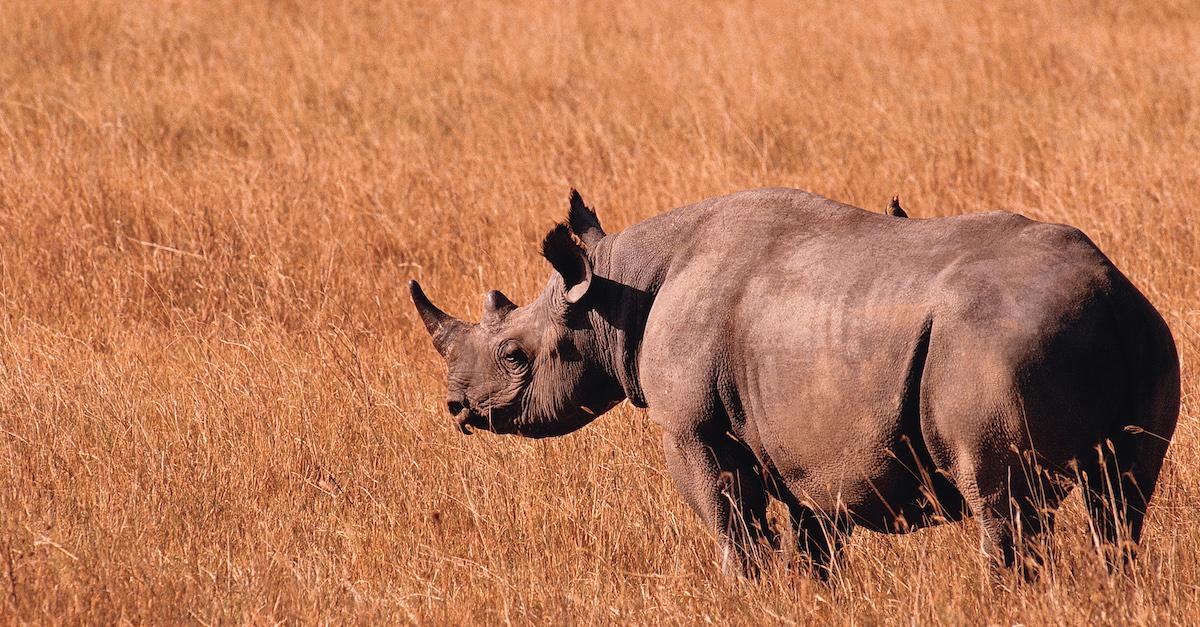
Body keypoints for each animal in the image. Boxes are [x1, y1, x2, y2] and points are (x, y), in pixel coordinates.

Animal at [410, 188, 1179, 579]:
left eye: (513, 354)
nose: (455, 405)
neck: (614, 293)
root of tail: (1107, 292)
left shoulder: (692, 429)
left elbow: (732, 525)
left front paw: (745, 593)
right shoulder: (802, 442)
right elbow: (813, 537)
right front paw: (812, 594)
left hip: (1000, 346)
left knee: (1001, 502)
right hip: (1148, 334)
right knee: (1122, 501)